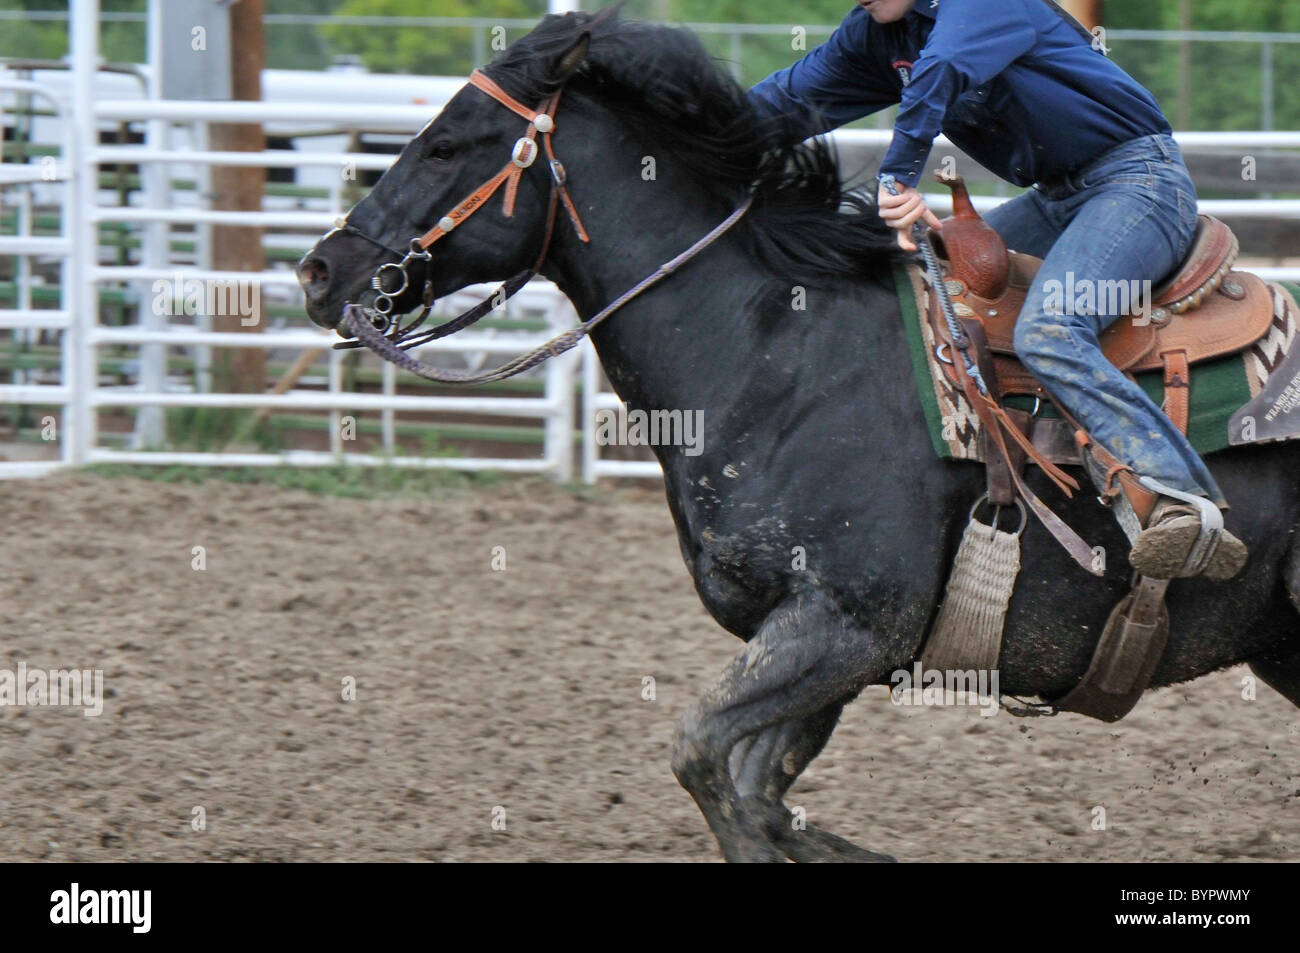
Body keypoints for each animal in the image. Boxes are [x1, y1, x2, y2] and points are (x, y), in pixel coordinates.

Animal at [297, 9, 1300, 862]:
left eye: (445, 143)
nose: (319, 271)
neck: (775, 350)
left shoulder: (845, 623)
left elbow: (706, 758)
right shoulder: (811, 642)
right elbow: (757, 792)